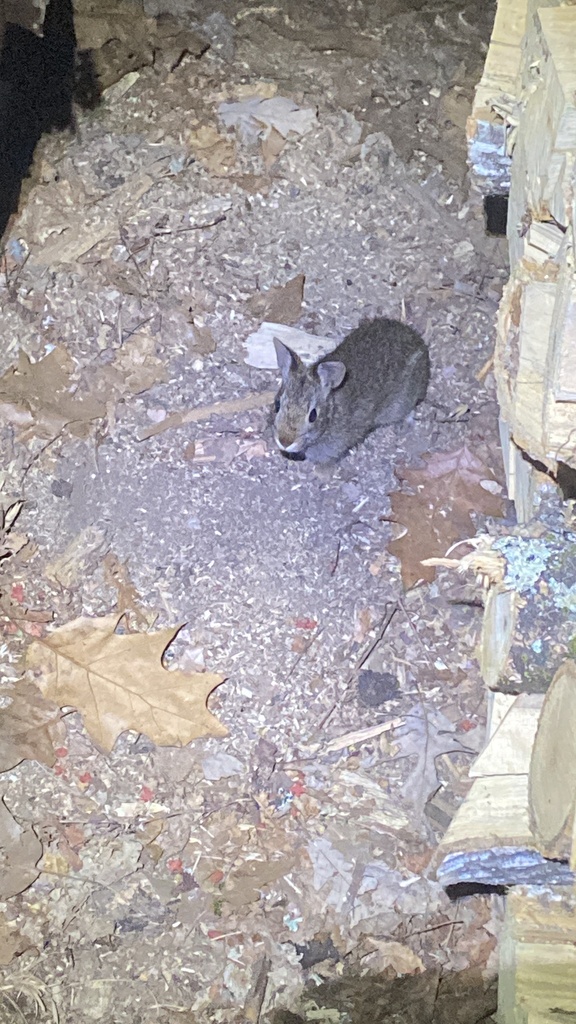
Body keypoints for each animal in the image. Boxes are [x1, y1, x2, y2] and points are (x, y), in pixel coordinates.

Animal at [272, 317, 430, 466]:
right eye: (277, 405)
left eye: (313, 416)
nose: (285, 442)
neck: (332, 411)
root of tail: (419, 342)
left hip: (402, 400)